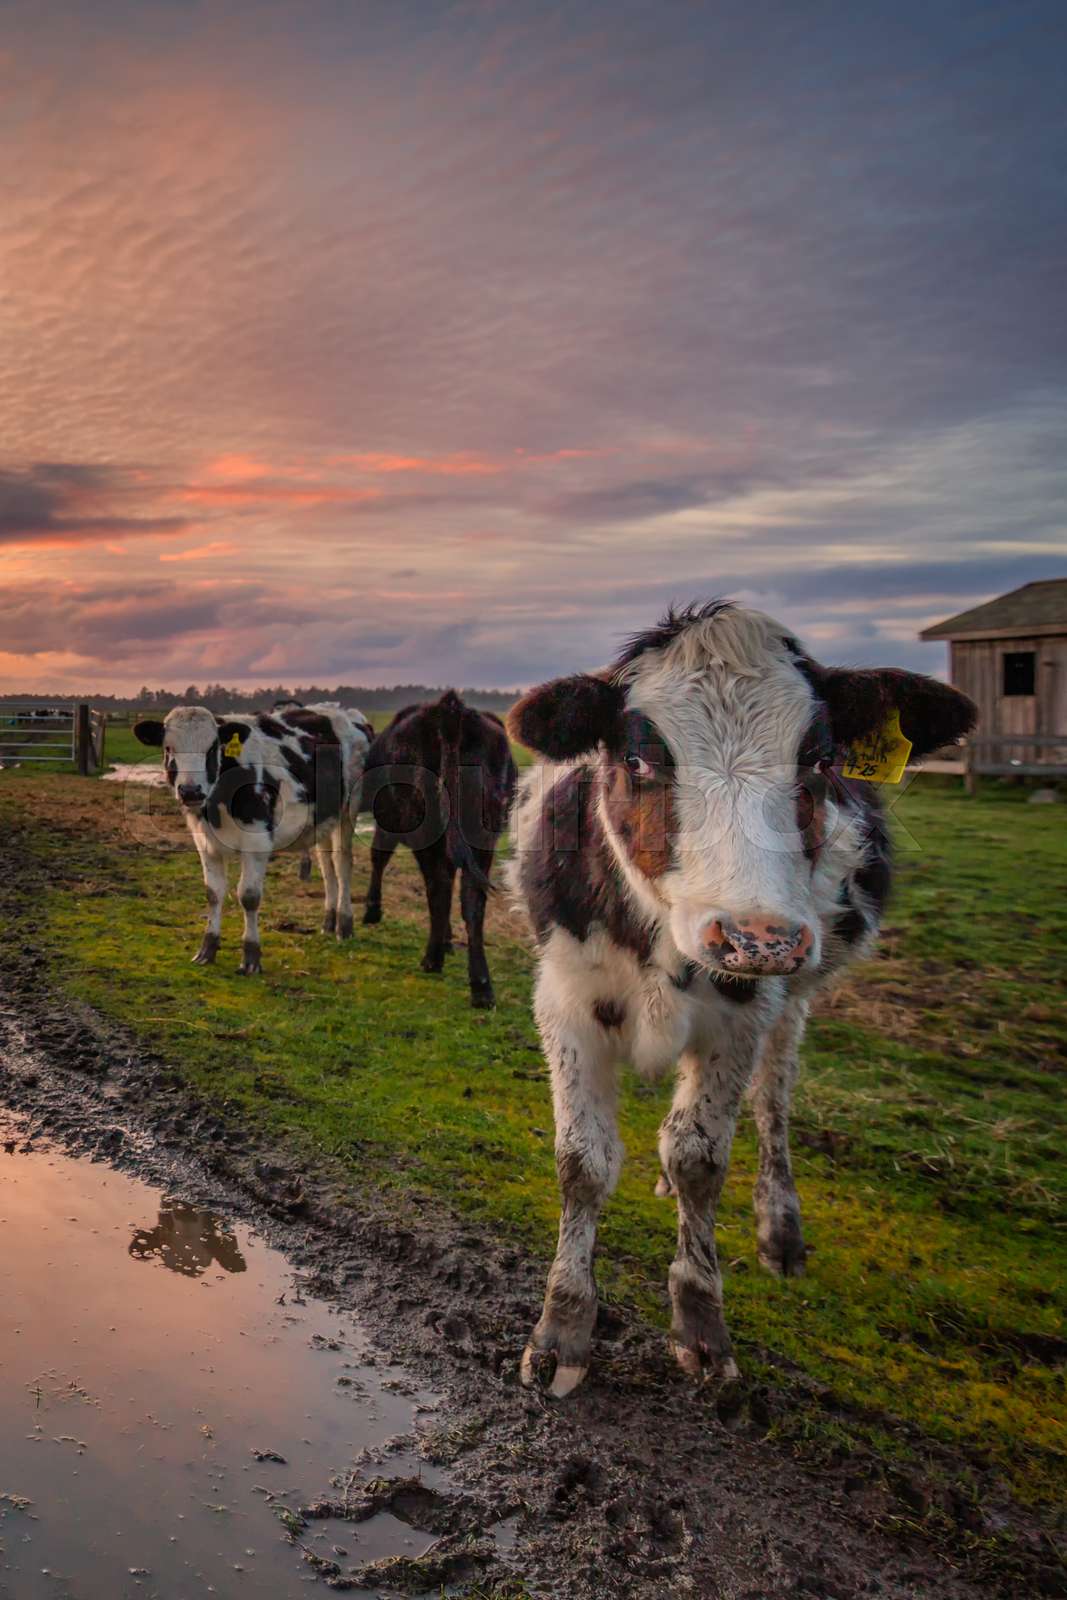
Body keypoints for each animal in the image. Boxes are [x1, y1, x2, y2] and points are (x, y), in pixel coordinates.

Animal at [133, 703, 372, 974]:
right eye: (168, 748)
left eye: (212, 747)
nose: (191, 791)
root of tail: (346, 711)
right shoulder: (206, 844)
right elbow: (213, 893)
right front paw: (207, 949)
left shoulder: (257, 843)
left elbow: (248, 896)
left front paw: (251, 956)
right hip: (323, 818)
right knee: (327, 866)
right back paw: (329, 922)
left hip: (348, 810)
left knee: (342, 865)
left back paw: (345, 925)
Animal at [361, 690, 517, 1008]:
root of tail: (449, 711)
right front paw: (447, 939)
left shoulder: (387, 823)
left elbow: (378, 856)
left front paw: (372, 910)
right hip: (483, 834)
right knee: (472, 898)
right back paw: (481, 985)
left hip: (422, 827)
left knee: (438, 888)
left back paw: (432, 960)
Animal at [505, 601, 976, 1397]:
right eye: (640, 759)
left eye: (819, 760)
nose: (757, 938)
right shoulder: (566, 999)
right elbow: (583, 1161)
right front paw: (561, 1329)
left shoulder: (743, 1016)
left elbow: (701, 1156)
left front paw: (700, 1324)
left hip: (792, 1001)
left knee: (772, 1098)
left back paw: (778, 1228)